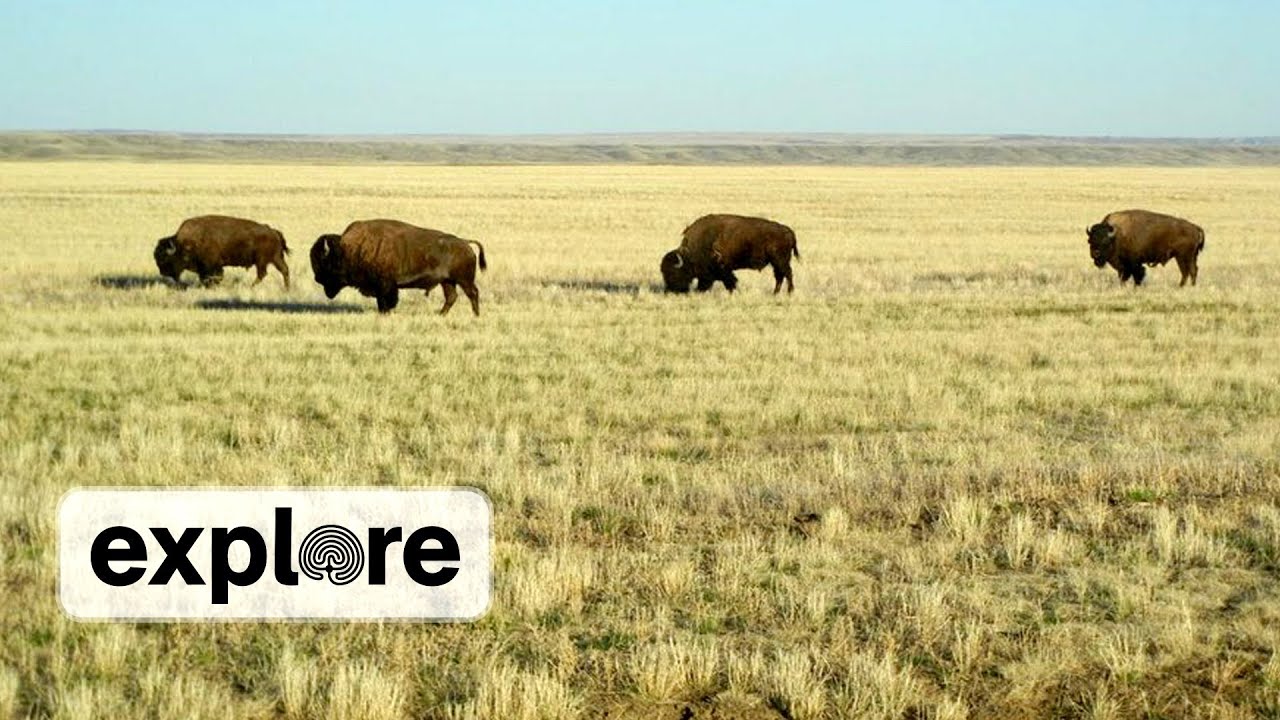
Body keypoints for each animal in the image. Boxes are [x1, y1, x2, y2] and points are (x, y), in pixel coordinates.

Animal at [153, 215, 290, 288]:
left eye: (165, 258)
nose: (163, 272)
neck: (183, 244)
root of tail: (273, 231)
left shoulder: (212, 266)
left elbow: (213, 277)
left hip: (262, 260)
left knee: (263, 274)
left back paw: (251, 287)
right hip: (276, 258)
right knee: (284, 270)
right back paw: (286, 289)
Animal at [310, 219, 487, 315]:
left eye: (325, 261)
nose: (317, 279)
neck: (350, 249)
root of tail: (465, 242)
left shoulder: (385, 286)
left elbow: (386, 302)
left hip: (464, 280)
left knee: (472, 293)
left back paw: (476, 315)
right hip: (447, 281)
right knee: (451, 297)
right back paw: (441, 315)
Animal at [660, 214, 799, 293]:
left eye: (673, 272)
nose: (669, 291)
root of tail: (788, 231)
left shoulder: (722, 269)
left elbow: (730, 282)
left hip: (780, 261)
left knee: (787, 274)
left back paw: (790, 292)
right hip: (776, 263)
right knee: (780, 276)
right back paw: (775, 293)